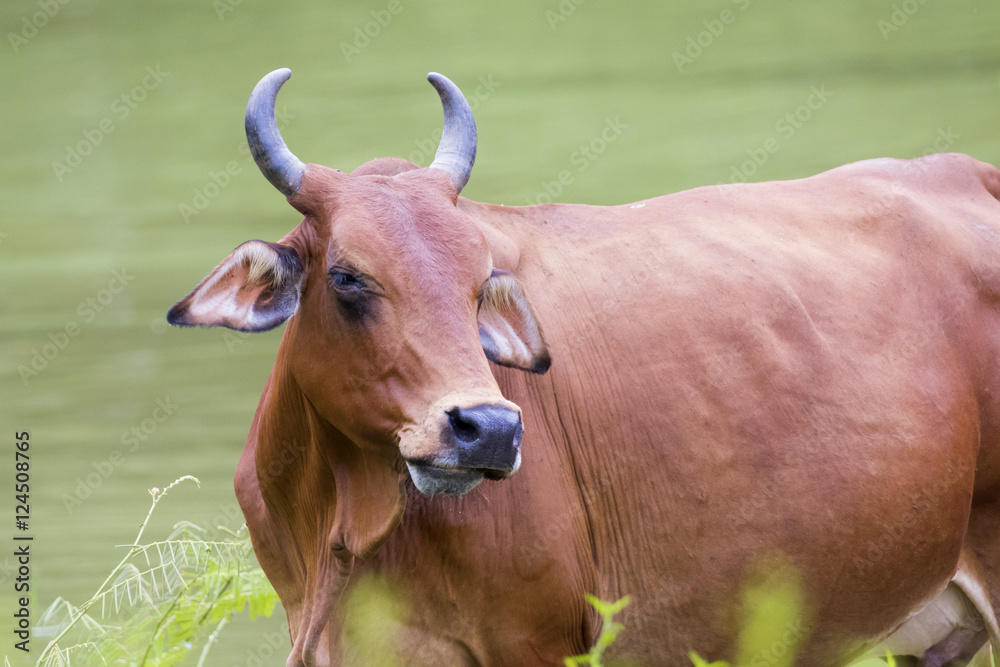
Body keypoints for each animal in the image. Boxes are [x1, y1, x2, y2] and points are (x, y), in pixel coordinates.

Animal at [168, 68, 1000, 666]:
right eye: (347, 277)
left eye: (481, 279)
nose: (487, 429)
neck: (342, 523)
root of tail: (968, 172)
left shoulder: (536, 641)